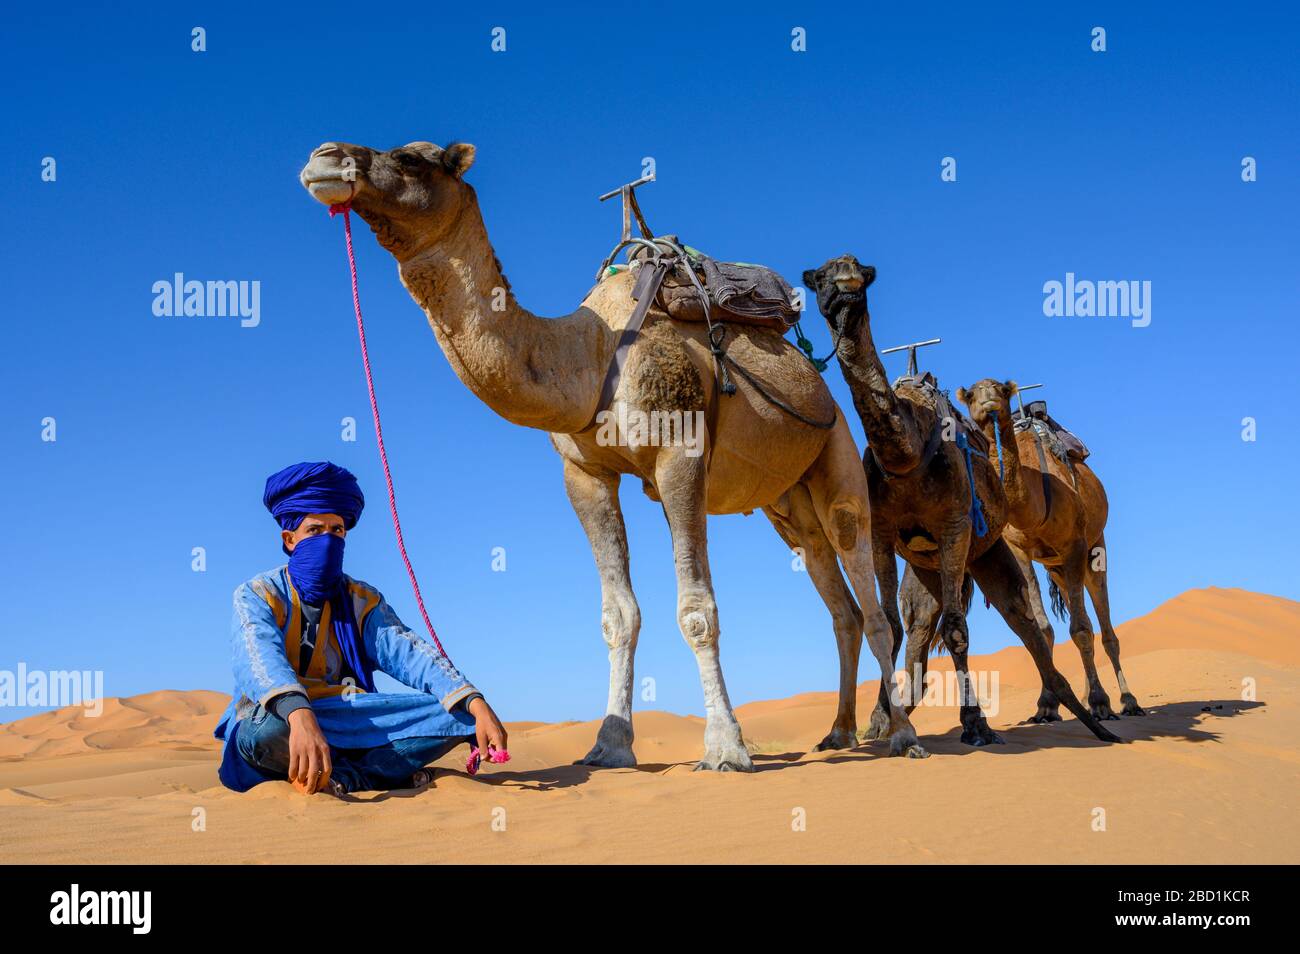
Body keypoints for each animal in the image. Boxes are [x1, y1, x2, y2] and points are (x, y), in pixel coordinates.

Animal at [300, 140, 928, 770]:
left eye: (412, 159)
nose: (324, 158)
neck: (589, 353)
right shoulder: (585, 473)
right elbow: (618, 615)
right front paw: (609, 744)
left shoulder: (680, 454)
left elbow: (697, 610)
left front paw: (726, 747)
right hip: (788, 505)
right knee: (840, 606)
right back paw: (839, 733)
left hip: (838, 456)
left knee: (871, 601)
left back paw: (901, 735)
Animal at [802, 254, 1120, 745]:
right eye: (819, 277)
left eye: (858, 270)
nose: (844, 283)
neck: (907, 453)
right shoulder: (882, 535)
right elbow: (891, 624)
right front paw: (884, 723)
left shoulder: (955, 527)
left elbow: (957, 630)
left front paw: (974, 721)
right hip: (931, 570)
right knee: (924, 627)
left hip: (991, 555)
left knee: (1026, 622)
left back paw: (1088, 715)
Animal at [957, 379, 1144, 720]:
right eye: (972, 393)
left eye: (1001, 389)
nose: (989, 399)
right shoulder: (1021, 552)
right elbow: (1043, 629)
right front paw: (1047, 705)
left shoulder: (1075, 545)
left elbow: (1082, 630)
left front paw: (1100, 701)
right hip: (1056, 568)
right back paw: (1085, 699)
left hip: (1094, 549)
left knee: (1106, 630)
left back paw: (1127, 700)